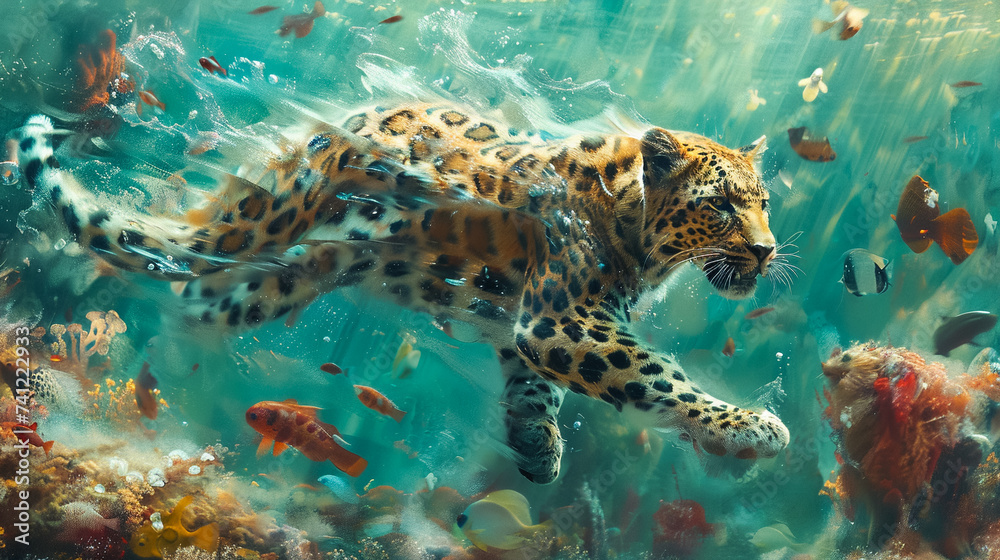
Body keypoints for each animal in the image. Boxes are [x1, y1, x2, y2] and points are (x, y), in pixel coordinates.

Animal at [13, 103, 790, 484]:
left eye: (763, 202)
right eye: (722, 206)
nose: (766, 250)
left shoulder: (536, 328)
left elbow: (536, 388)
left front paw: (536, 446)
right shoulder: (563, 321)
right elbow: (655, 376)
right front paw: (750, 427)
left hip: (284, 278)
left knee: (202, 297)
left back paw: (168, 357)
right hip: (262, 224)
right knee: (167, 254)